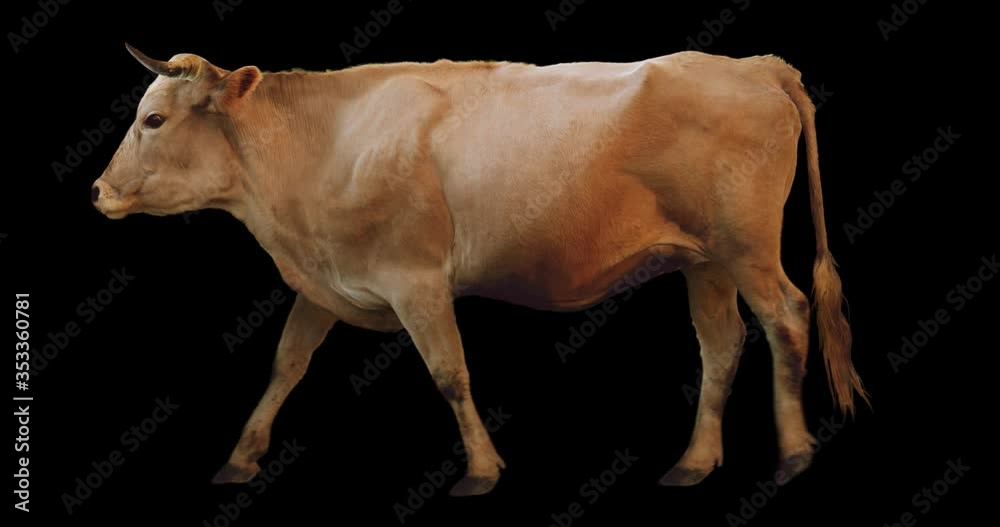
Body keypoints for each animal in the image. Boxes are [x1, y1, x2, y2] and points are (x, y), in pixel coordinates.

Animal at [93, 44, 869, 496]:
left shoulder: (415, 279)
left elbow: (449, 373)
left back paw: (795, 450)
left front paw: (481, 469)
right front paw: (241, 456)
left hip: (747, 246)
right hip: (703, 259)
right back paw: (695, 460)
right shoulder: (328, 279)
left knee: (786, 317)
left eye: (153, 120)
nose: (98, 190)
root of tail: (752, 64)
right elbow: (286, 364)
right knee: (721, 343)